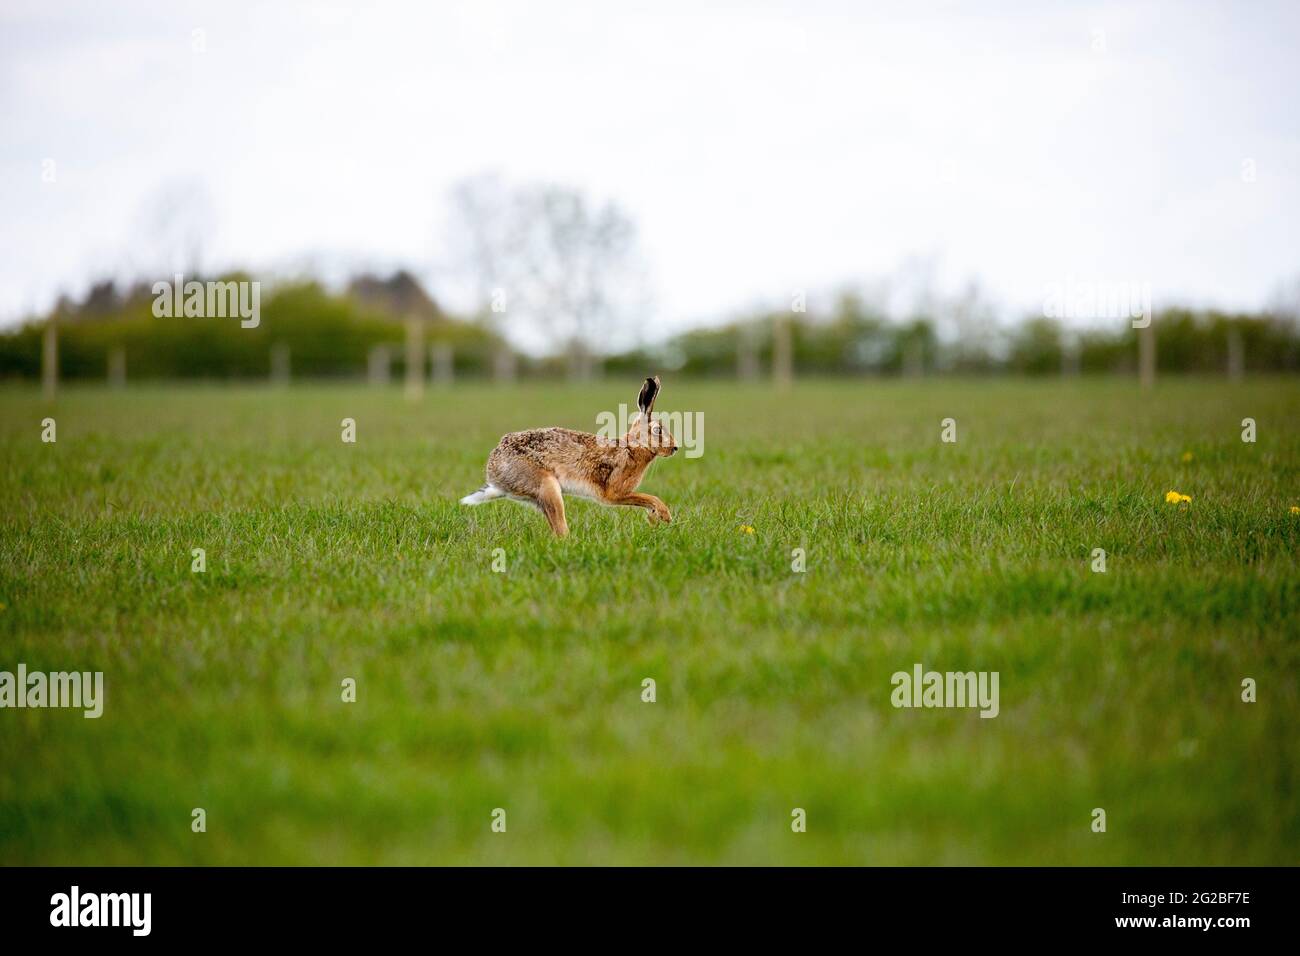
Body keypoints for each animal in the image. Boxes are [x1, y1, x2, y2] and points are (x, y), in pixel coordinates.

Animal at [460, 376, 677, 537]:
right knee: (560, 530)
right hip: (547, 486)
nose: (674, 448)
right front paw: (664, 515)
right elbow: (647, 497)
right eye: (658, 430)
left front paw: (655, 518)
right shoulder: (613, 492)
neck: (631, 447)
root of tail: (494, 472)